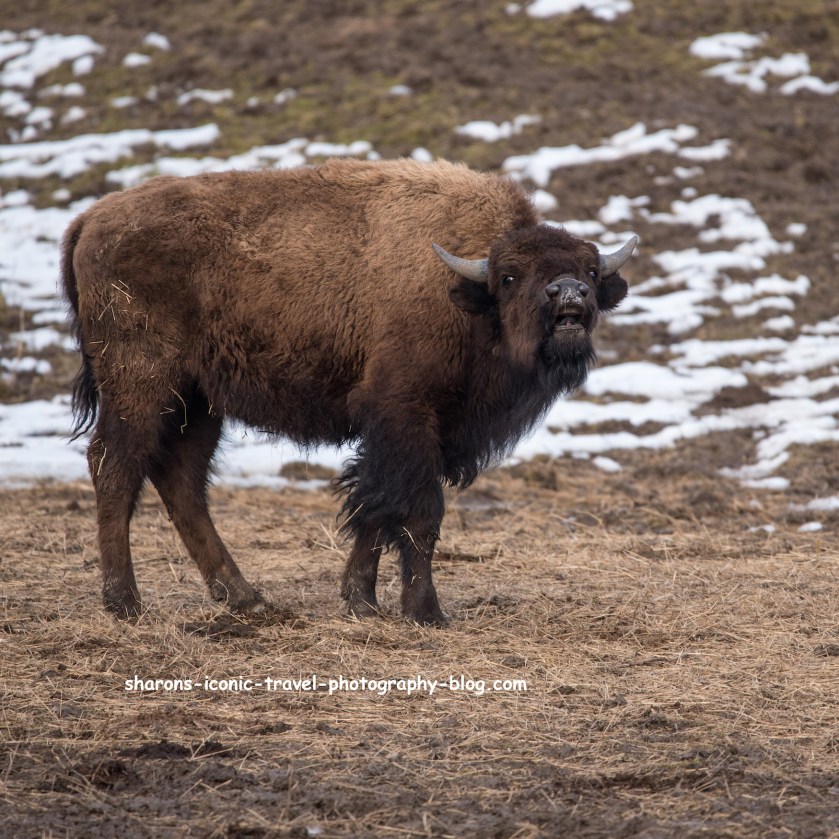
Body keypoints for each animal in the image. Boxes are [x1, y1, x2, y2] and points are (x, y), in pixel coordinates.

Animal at [62, 158, 636, 625]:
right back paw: (125, 603)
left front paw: (361, 599)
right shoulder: (406, 416)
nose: (569, 295)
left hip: (199, 403)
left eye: (589, 270)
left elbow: (375, 508)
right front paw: (425, 611)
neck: (466, 294)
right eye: (511, 276)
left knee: (180, 481)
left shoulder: (420, 432)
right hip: (140, 385)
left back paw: (245, 598)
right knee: (115, 466)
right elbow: (416, 512)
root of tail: (91, 219)